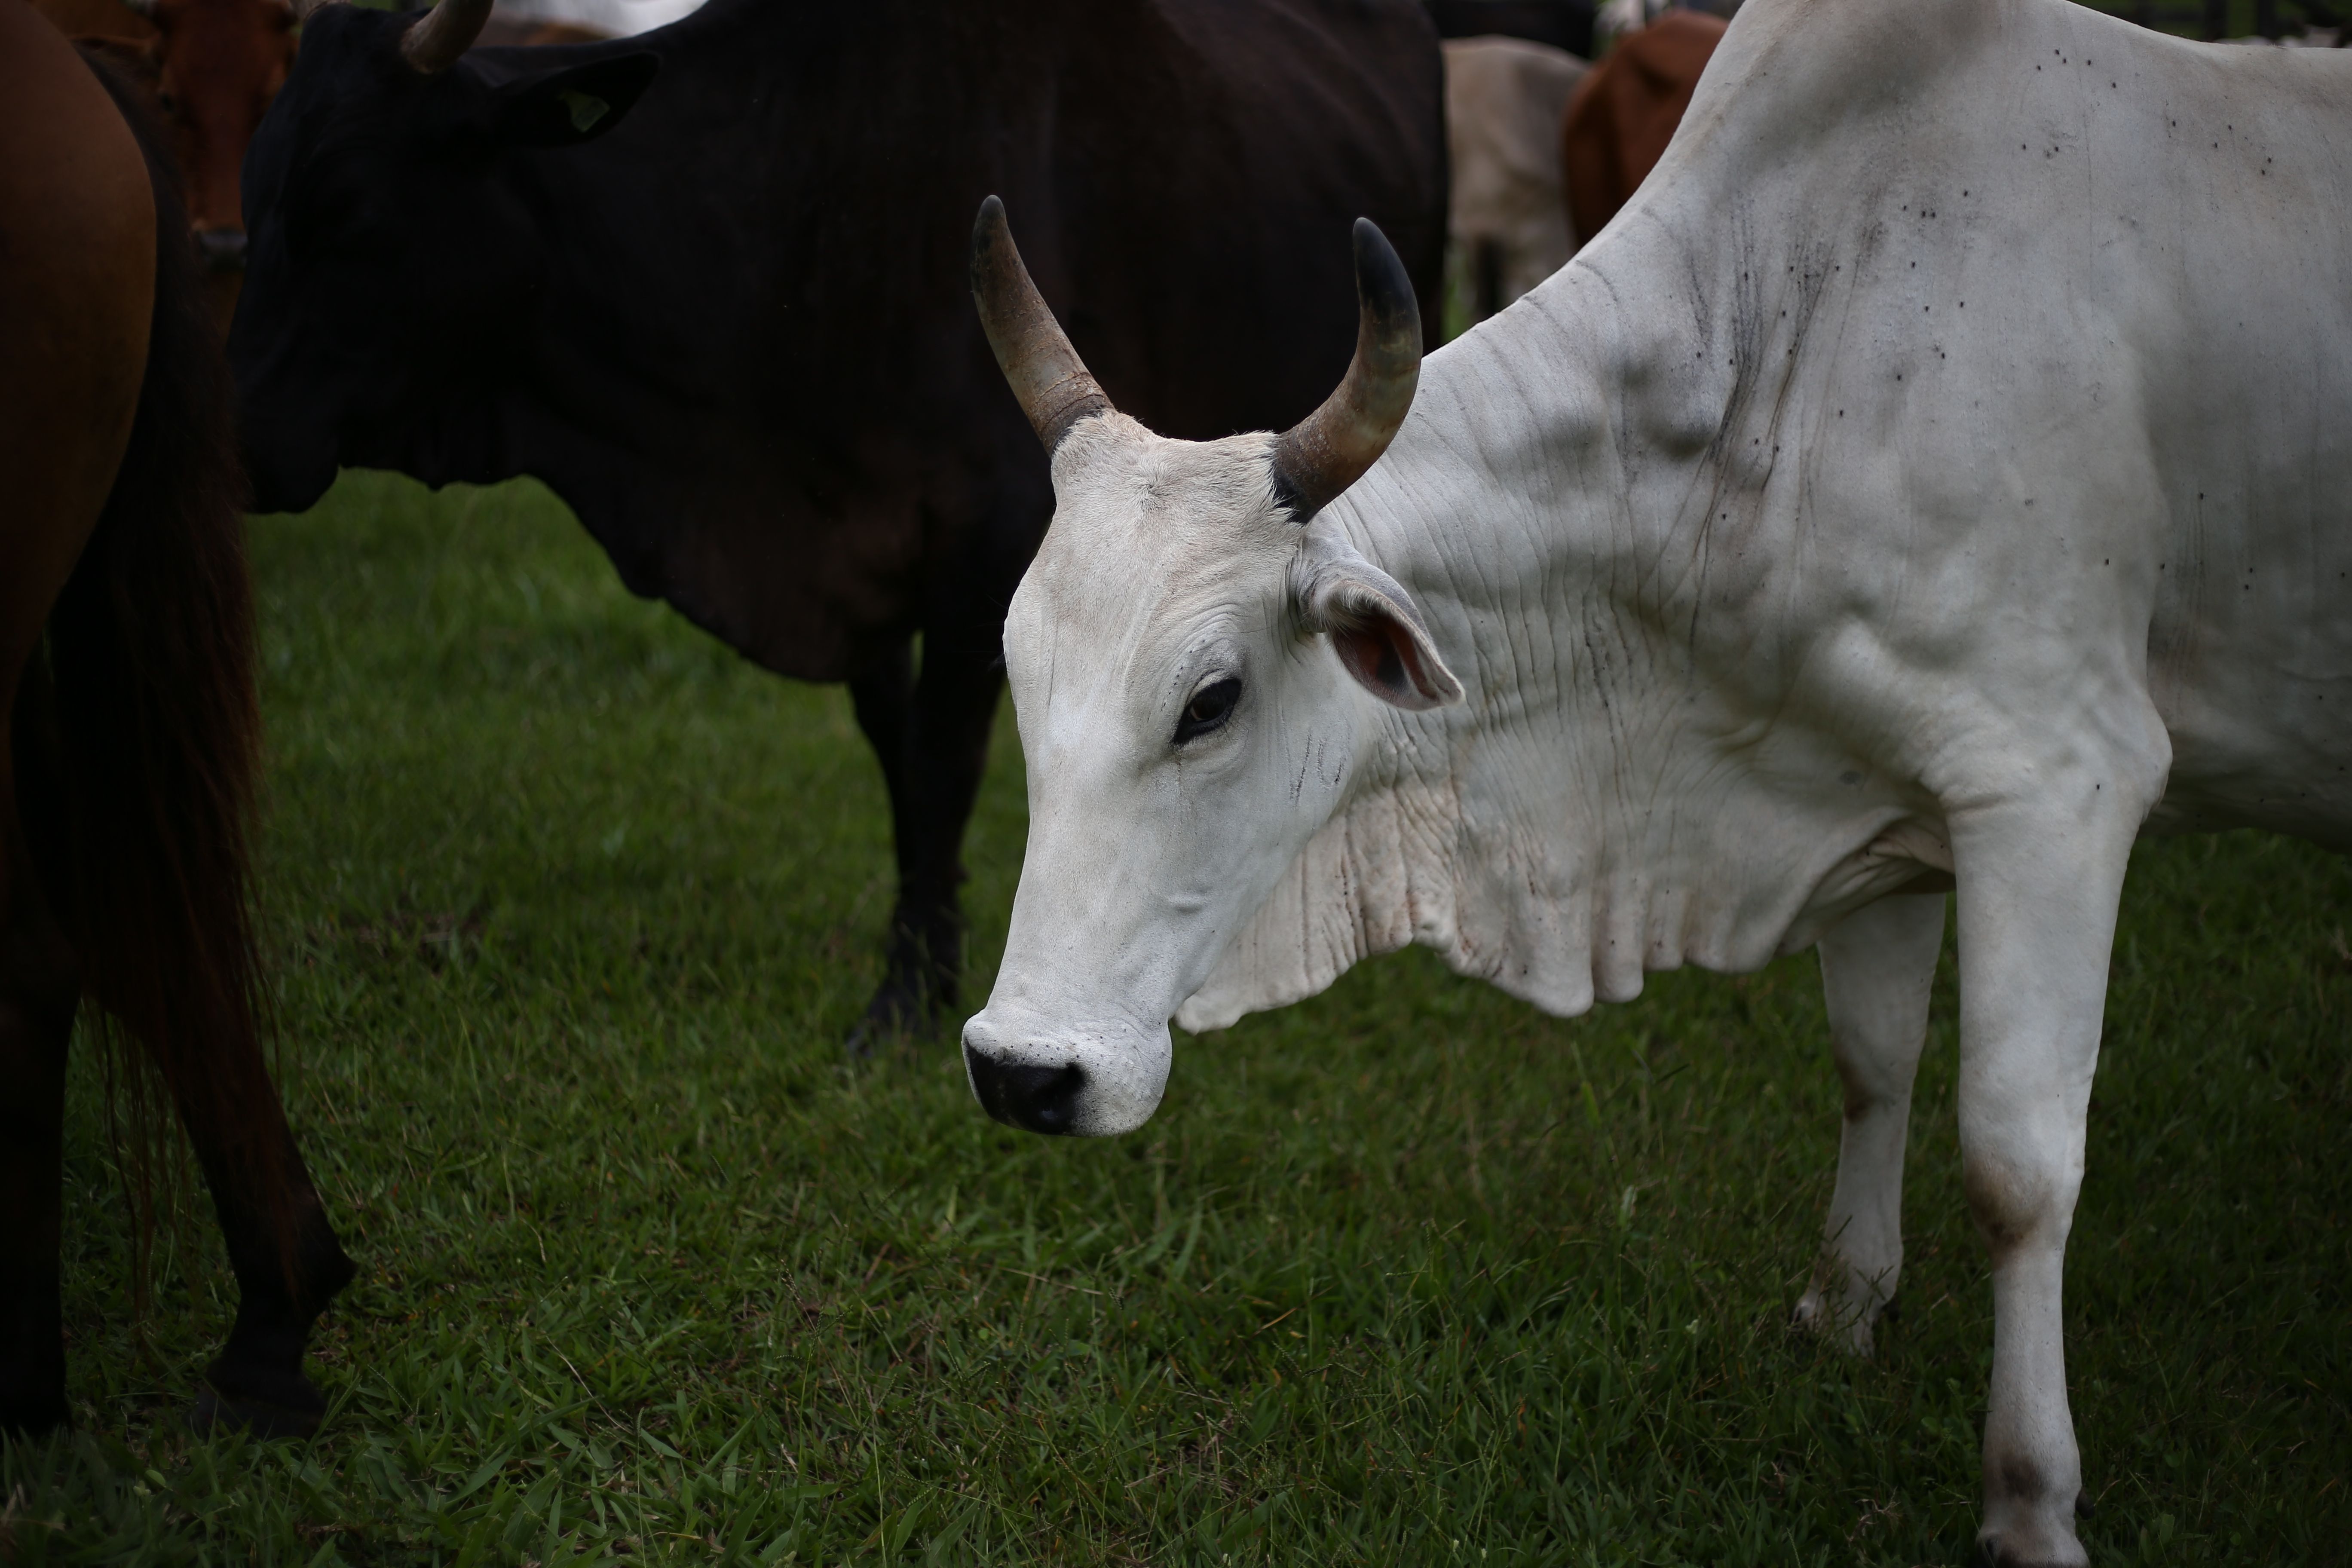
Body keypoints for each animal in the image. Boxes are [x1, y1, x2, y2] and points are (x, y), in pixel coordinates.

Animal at [228, 0, 1447, 1049]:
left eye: (346, 210)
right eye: (249, 199)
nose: (235, 445)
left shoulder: (977, 550)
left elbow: (944, 762)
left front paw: (906, 999)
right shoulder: (857, 569)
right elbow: (896, 756)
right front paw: (929, 952)